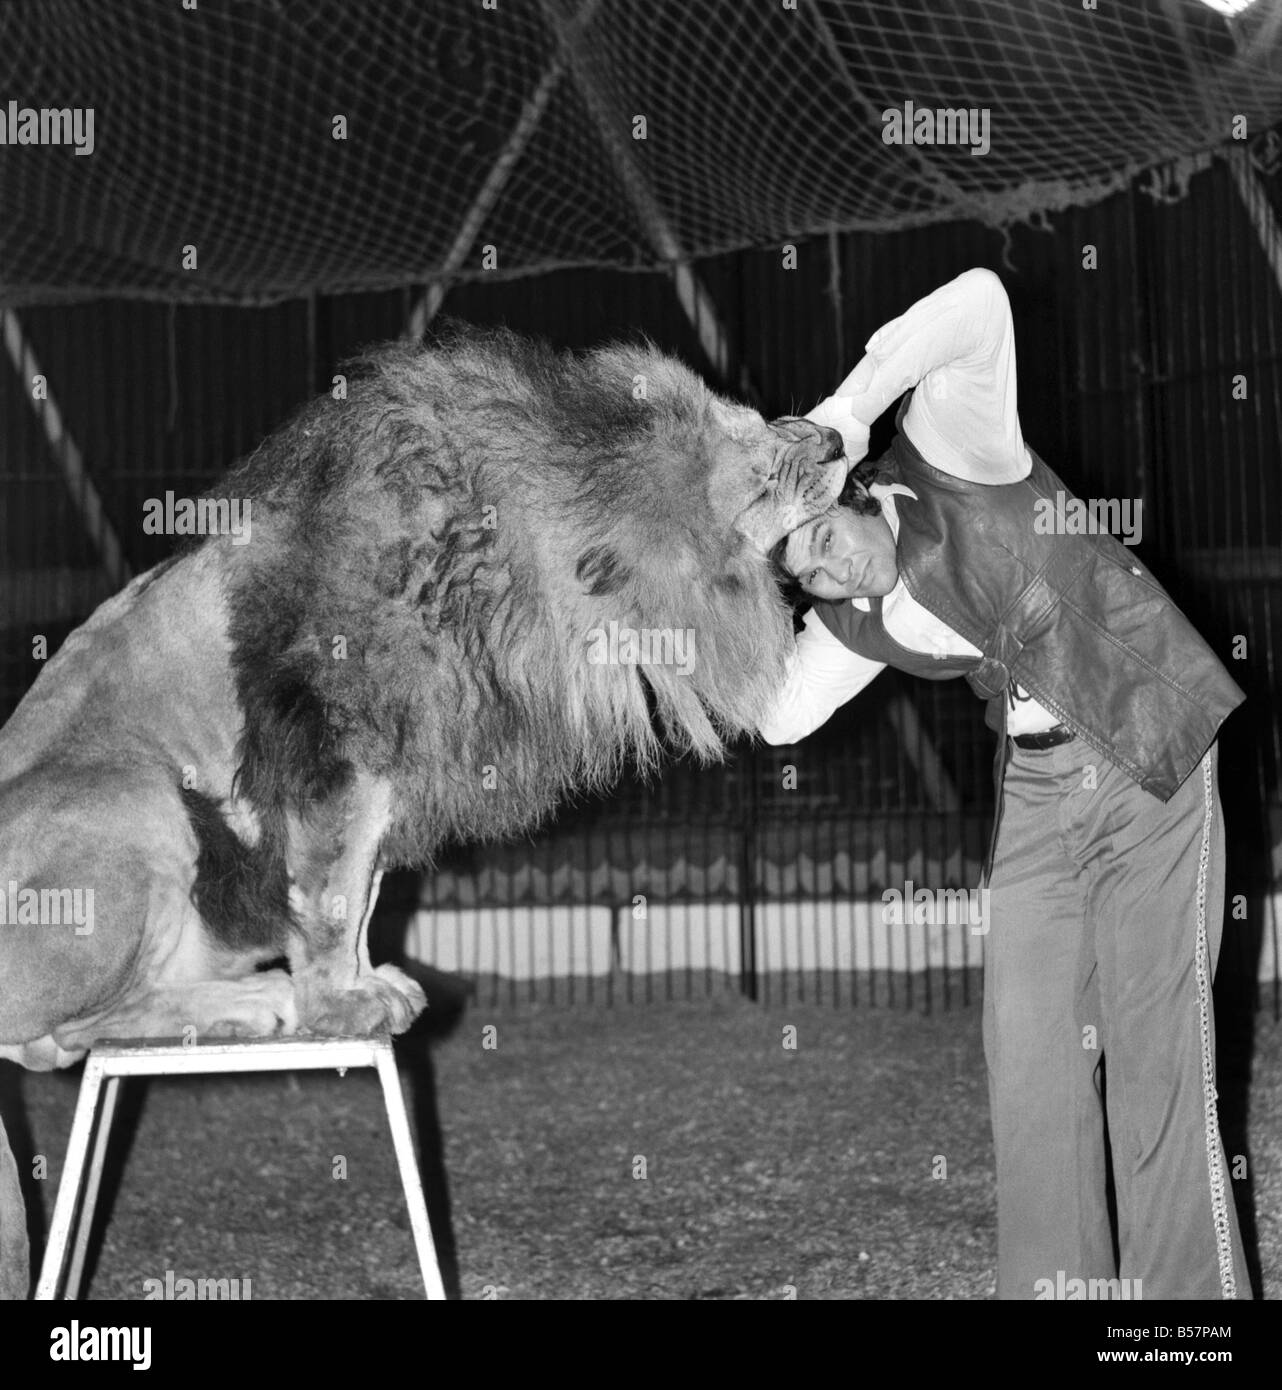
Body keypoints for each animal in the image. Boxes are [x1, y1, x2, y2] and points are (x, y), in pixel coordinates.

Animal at [0, 326, 847, 1294]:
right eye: (757, 479)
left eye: (756, 417)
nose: (834, 441)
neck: (500, 545)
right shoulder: (340, 749)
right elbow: (332, 896)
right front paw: (338, 1007)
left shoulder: (389, 775)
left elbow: (360, 894)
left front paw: (374, 982)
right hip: (136, 801)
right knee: (51, 1038)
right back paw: (253, 1006)